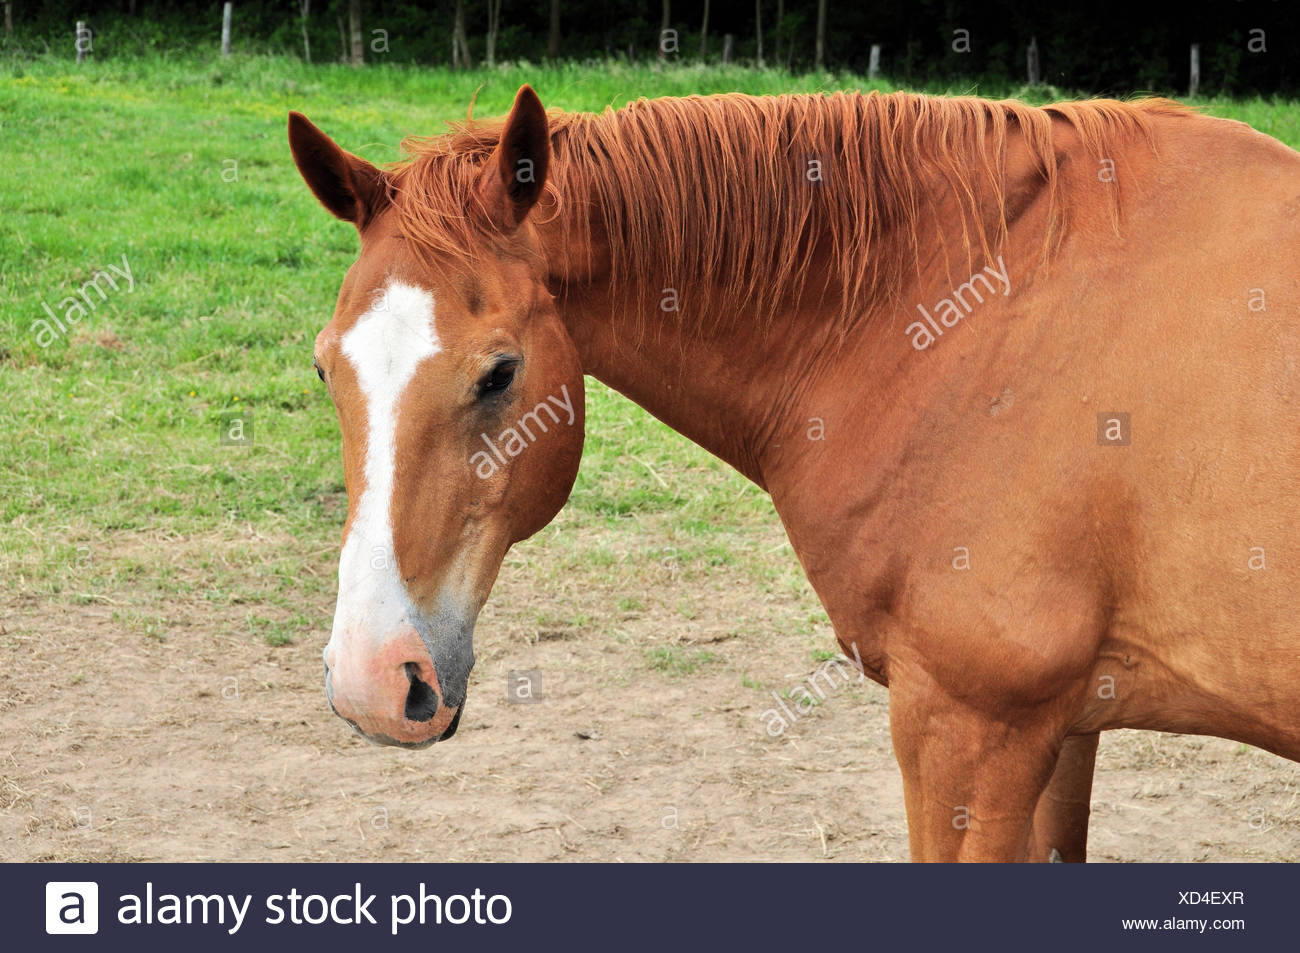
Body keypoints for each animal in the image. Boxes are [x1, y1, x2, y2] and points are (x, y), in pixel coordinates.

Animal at [288, 84, 1300, 862]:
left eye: (499, 373)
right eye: (326, 367)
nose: (372, 680)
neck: (980, 319)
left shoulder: (970, 729)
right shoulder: (1067, 726)